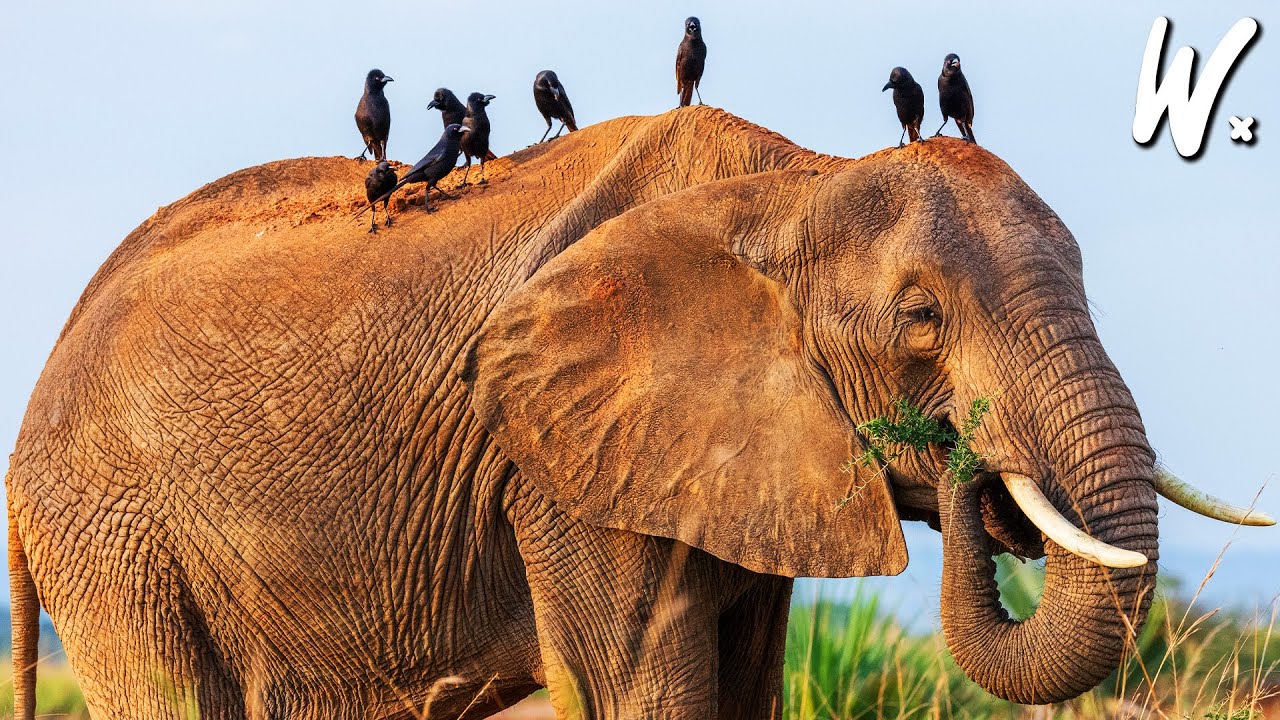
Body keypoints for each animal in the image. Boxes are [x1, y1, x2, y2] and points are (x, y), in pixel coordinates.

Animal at [6, 106, 1270, 719]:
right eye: (919, 321)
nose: (957, 456)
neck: (792, 180)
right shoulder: (565, 467)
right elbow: (638, 690)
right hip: (111, 534)